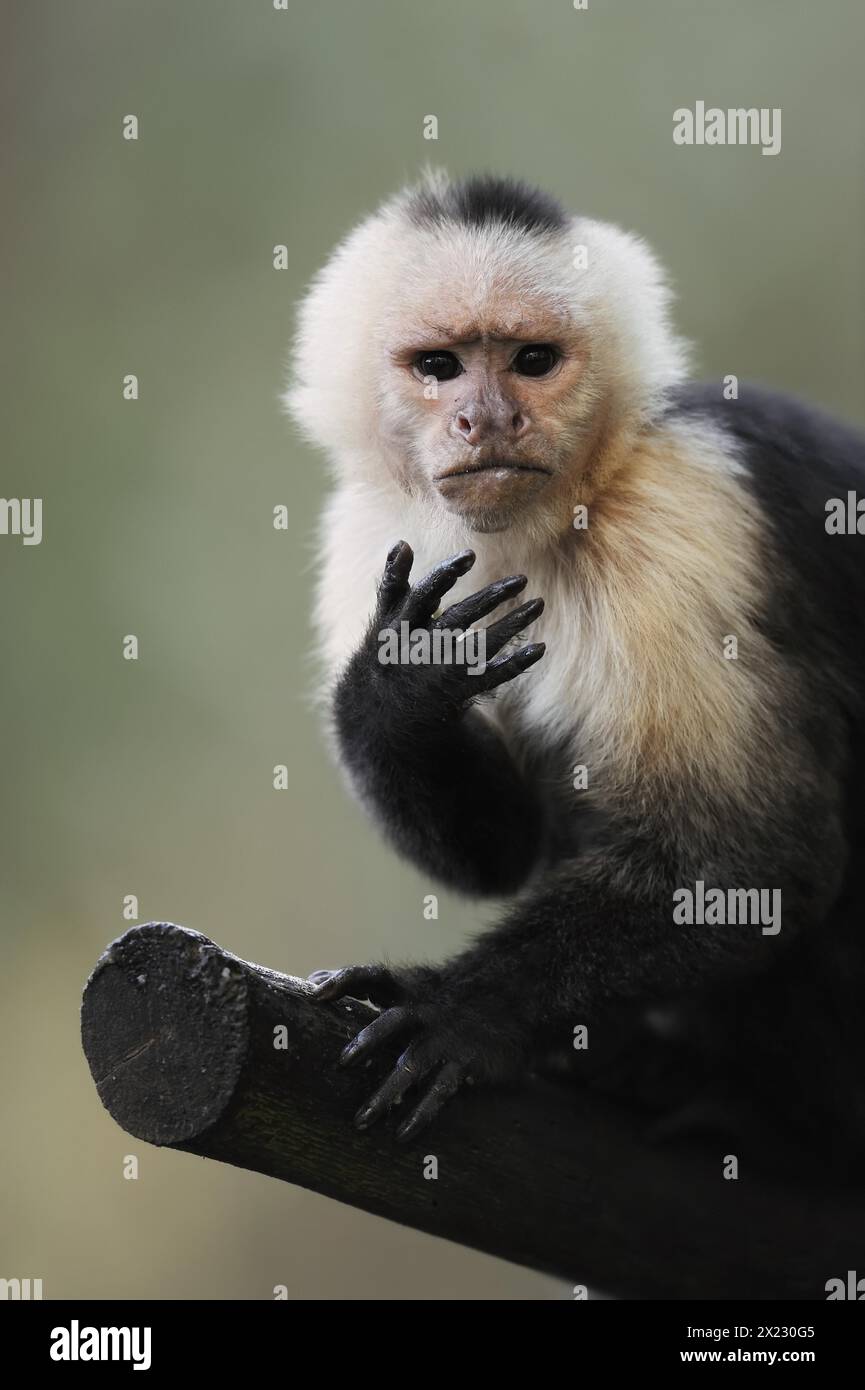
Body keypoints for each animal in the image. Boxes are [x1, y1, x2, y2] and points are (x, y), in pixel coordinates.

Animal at [286, 170, 865, 1163]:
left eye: (531, 360)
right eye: (438, 367)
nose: (488, 418)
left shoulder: (684, 514)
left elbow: (746, 863)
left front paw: (462, 1012)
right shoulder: (368, 533)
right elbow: (498, 852)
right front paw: (403, 685)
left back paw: (761, 1114)